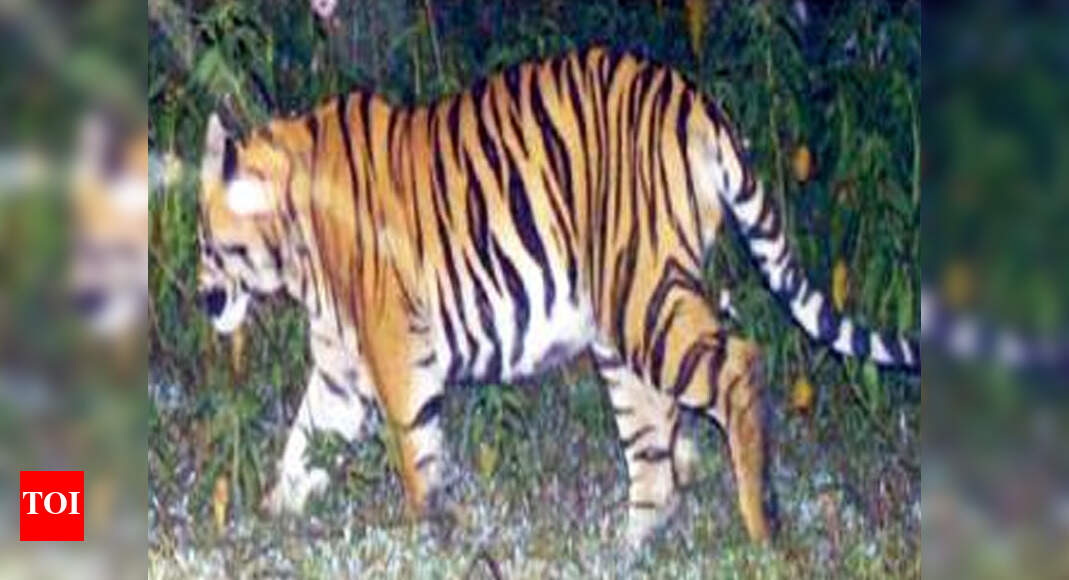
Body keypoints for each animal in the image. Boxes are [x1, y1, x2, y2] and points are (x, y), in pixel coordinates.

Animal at [195, 47, 918, 547]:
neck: (295, 243)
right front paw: (265, 518)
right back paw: (631, 544)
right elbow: (302, 440)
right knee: (652, 437)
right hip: (623, 328)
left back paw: (759, 524)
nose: (203, 299)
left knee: (739, 364)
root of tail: (696, 101)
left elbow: (414, 449)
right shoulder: (341, 368)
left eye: (206, 242)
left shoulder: (394, 349)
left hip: (643, 294)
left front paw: (432, 531)